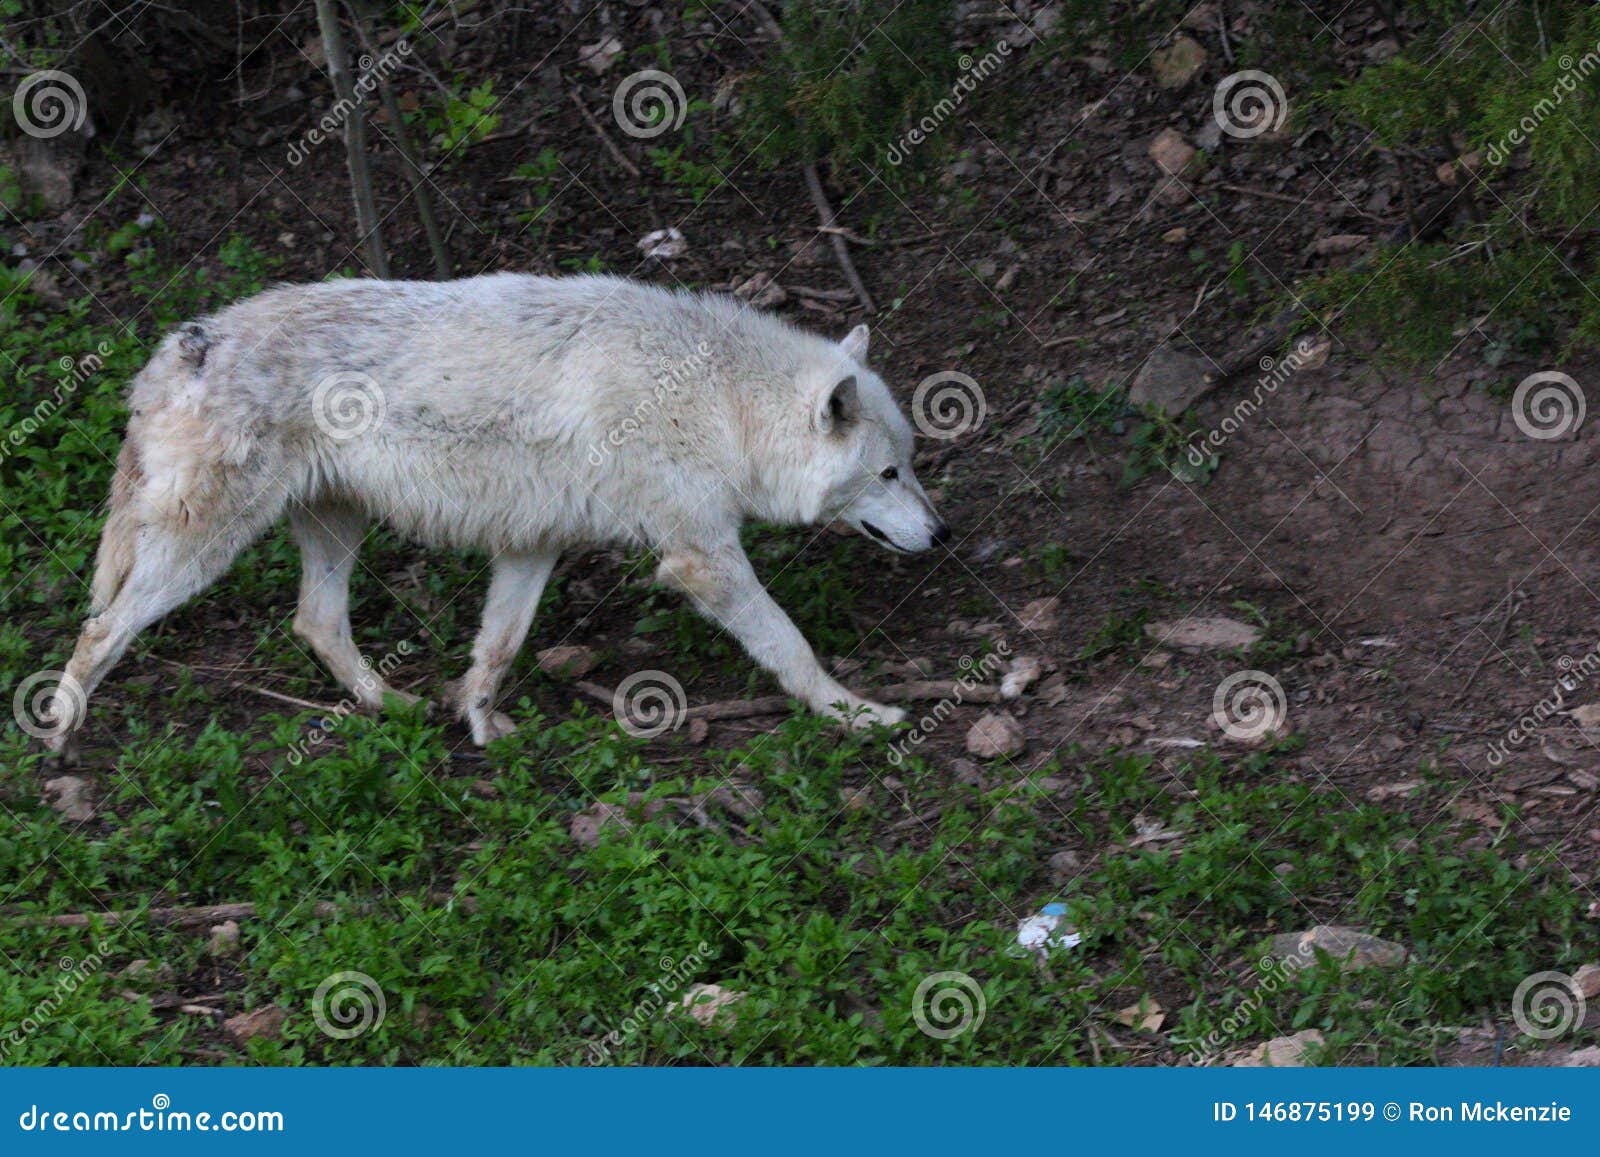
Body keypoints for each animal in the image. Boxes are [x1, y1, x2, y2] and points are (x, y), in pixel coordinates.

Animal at [42, 273, 949, 758]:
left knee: (315, 622)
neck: (719, 400)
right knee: (101, 626)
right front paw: (859, 715)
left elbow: (497, 647)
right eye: (890, 472)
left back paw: (395, 707)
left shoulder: (531, 544)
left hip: (335, 527)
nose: (942, 534)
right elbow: (791, 645)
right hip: (203, 549)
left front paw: (479, 724)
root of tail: (180, 345)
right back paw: (57, 732)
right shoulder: (701, 559)